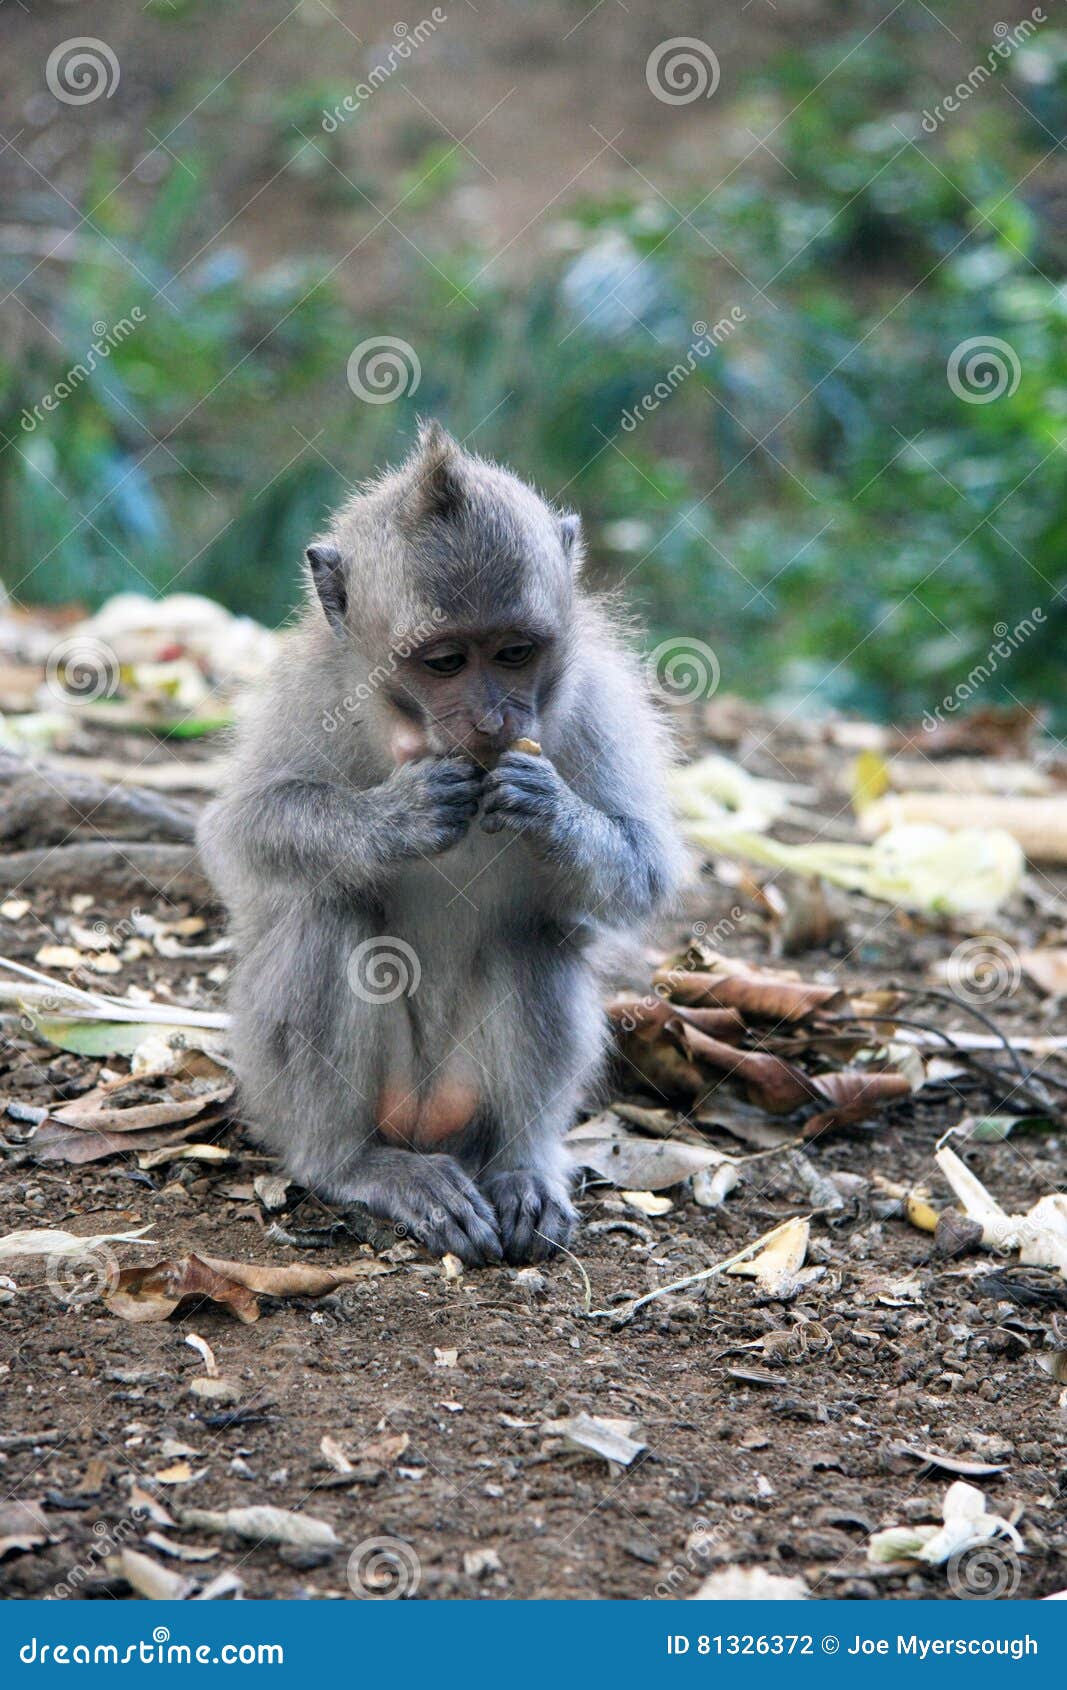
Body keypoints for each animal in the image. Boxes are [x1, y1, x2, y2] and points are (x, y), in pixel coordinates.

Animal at [196, 421, 685, 1265]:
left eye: (515, 651)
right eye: (446, 661)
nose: (493, 719)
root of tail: (426, 1119)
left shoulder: (594, 696)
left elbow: (646, 869)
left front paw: (547, 808)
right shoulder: (315, 687)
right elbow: (244, 832)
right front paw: (400, 816)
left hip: (469, 1102)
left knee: (534, 940)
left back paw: (520, 1167)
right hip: (282, 1087)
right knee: (331, 915)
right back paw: (352, 1163)